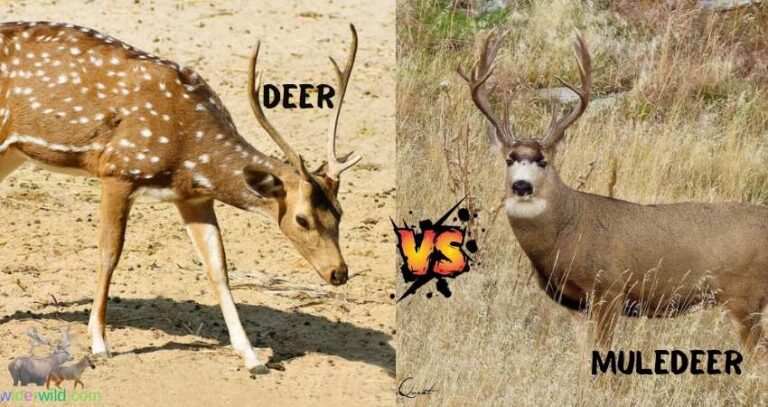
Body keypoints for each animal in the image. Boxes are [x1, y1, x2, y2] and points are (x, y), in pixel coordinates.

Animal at [0, 21, 362, 375]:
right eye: (302, 219)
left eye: (340, 212)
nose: (339, 273)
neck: (190, 150)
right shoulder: (118, 170)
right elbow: (109, 254)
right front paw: (100, 345)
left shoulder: (193, 198)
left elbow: (218, 266)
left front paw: (252, 357)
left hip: (13, 154)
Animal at [458, 30, 768, 355]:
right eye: (509, 159)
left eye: (543, 161)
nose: (521, 185)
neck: (567, 231)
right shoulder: (575, 304)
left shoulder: (609, 287)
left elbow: (603, 348)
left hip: (744, 296)